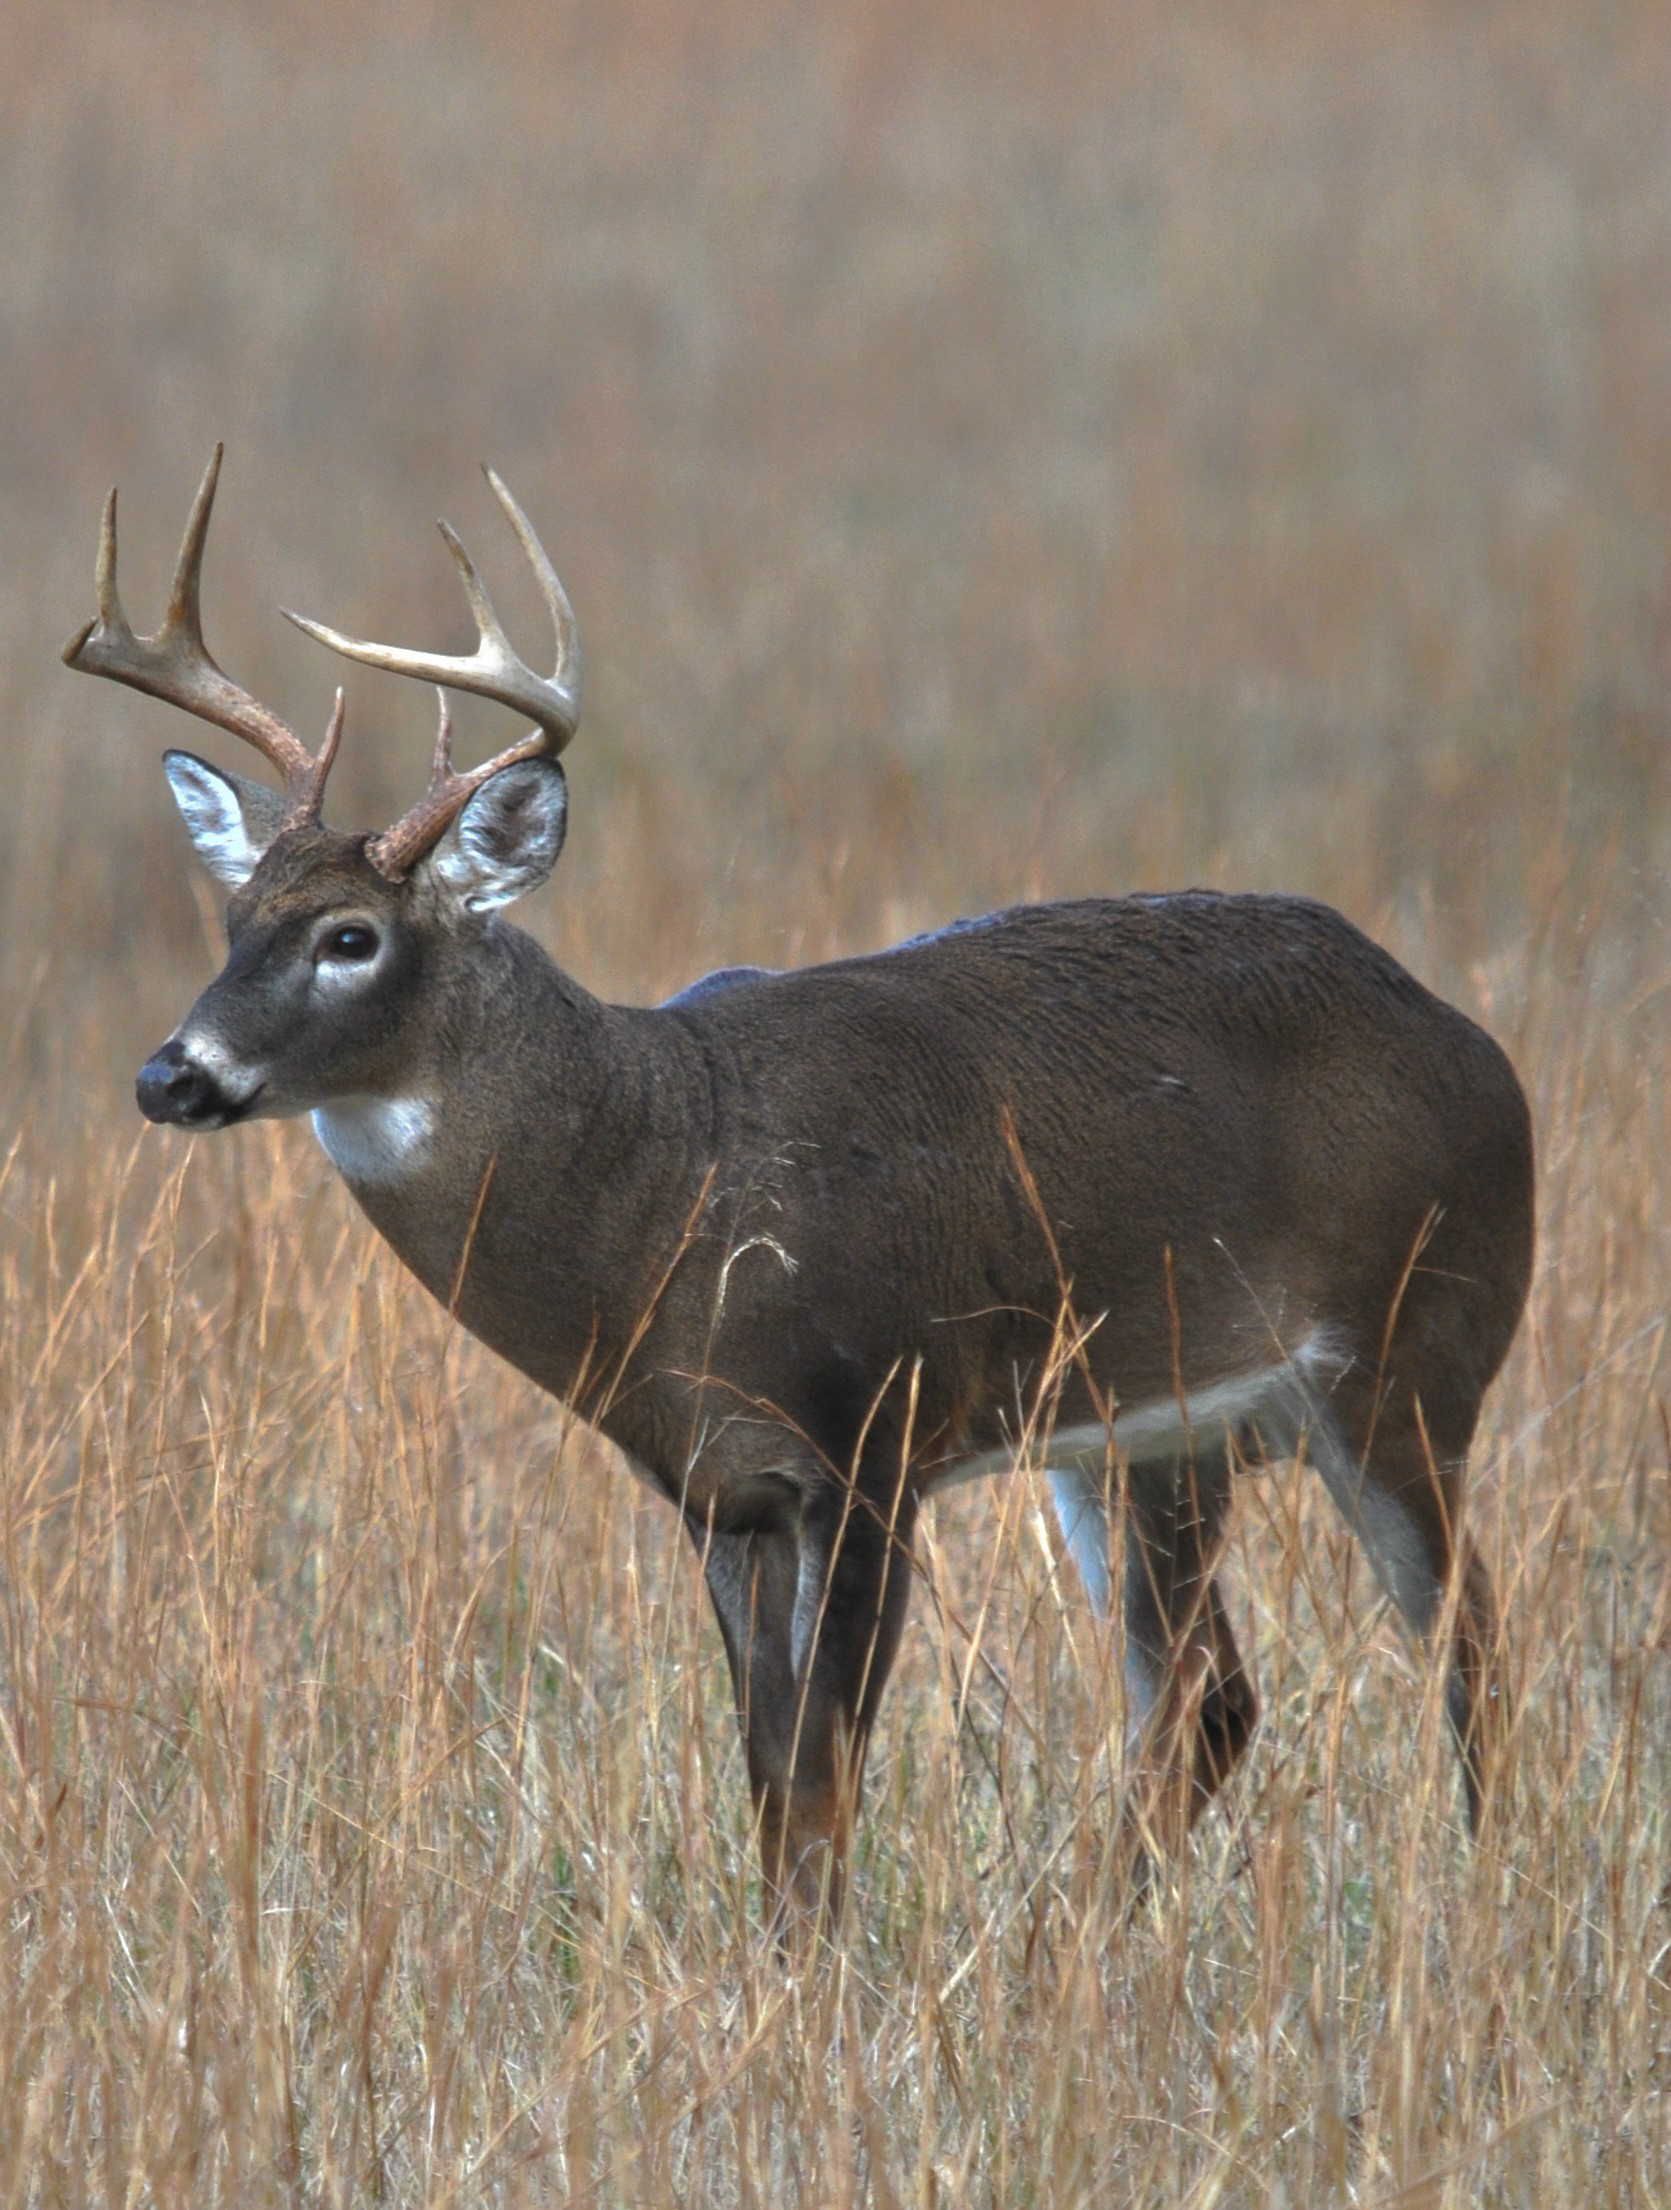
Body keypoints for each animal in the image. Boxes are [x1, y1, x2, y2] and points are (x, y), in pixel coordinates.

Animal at [65, 448, 1535, 1936]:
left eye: (351, 937)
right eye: (234, 921)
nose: (171, 1074)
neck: (668, 1192)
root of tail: (1472, 1047)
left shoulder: (873, 1430)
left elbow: (825, 1770)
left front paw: (822, 1978)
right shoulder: (717, 1486)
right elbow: (772, 1776)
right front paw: (781, 1969)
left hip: (1411, 1355)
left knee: (1472, 1646)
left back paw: (1481, 1910)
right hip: (1148, 1438)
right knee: (1201, 1695)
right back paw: (1082, 1940)